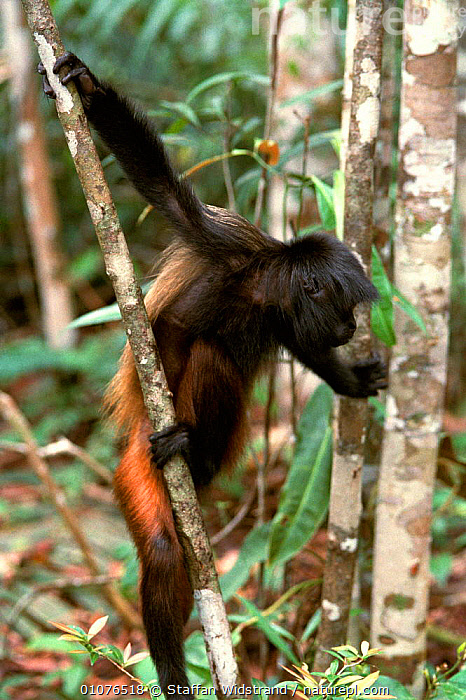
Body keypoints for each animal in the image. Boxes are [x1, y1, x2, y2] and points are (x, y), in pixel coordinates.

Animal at [39, 53, 387, 697]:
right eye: (347, 308)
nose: (354, 326)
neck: (260, 293)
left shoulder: (283, 318)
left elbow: (306, 348)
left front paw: (350, 381)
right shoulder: (229, 243)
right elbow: (166, 195)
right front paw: (88, 88)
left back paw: (196, 454)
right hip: (136, 461)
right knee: (163, 544)